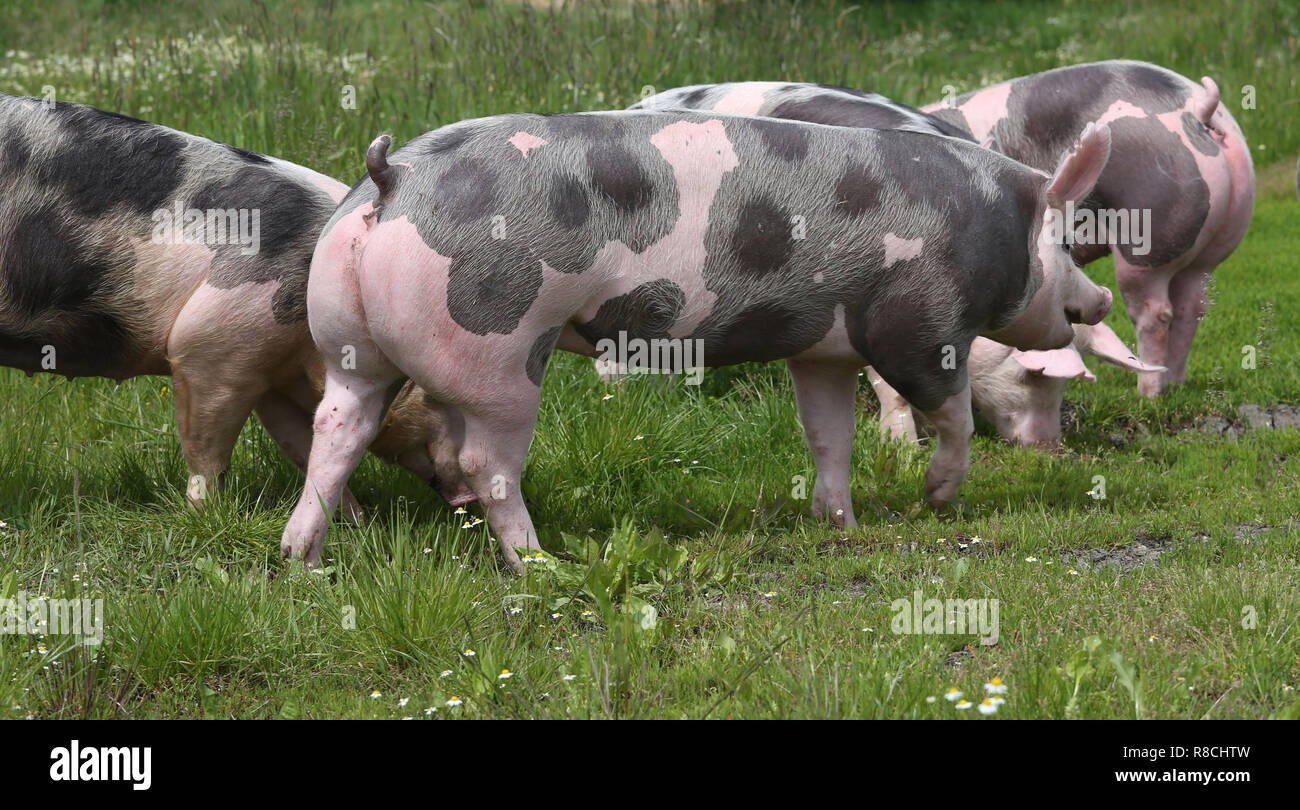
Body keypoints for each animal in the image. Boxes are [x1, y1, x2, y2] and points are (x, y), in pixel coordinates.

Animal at [0, 94, 470, 514]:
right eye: (435, 396)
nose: (468, 499)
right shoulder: (208, 344)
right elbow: (208, 449)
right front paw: (204, 514)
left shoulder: (273, 374)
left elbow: (303, 446)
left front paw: (353, 523)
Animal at [280, 110, 1114, 572]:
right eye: (1063, 240)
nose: (1098, 296)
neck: (985, 223)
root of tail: (392, 178)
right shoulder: (917, 320)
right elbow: (952, 410)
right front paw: (936, 500)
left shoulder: (823, 345)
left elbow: (828, 434)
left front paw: (839, 523)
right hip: (500, 351)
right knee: (485, 461)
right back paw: (540, 563)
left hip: (350, 345)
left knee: (336, 429)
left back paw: (301, 560)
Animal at [922, 60, 1255, 397]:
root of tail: (1196, 107)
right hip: (1215, 245)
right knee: (1191, 307)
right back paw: (1174, 384)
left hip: (1144, 242)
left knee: (1156, 313)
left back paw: (1147, 393)